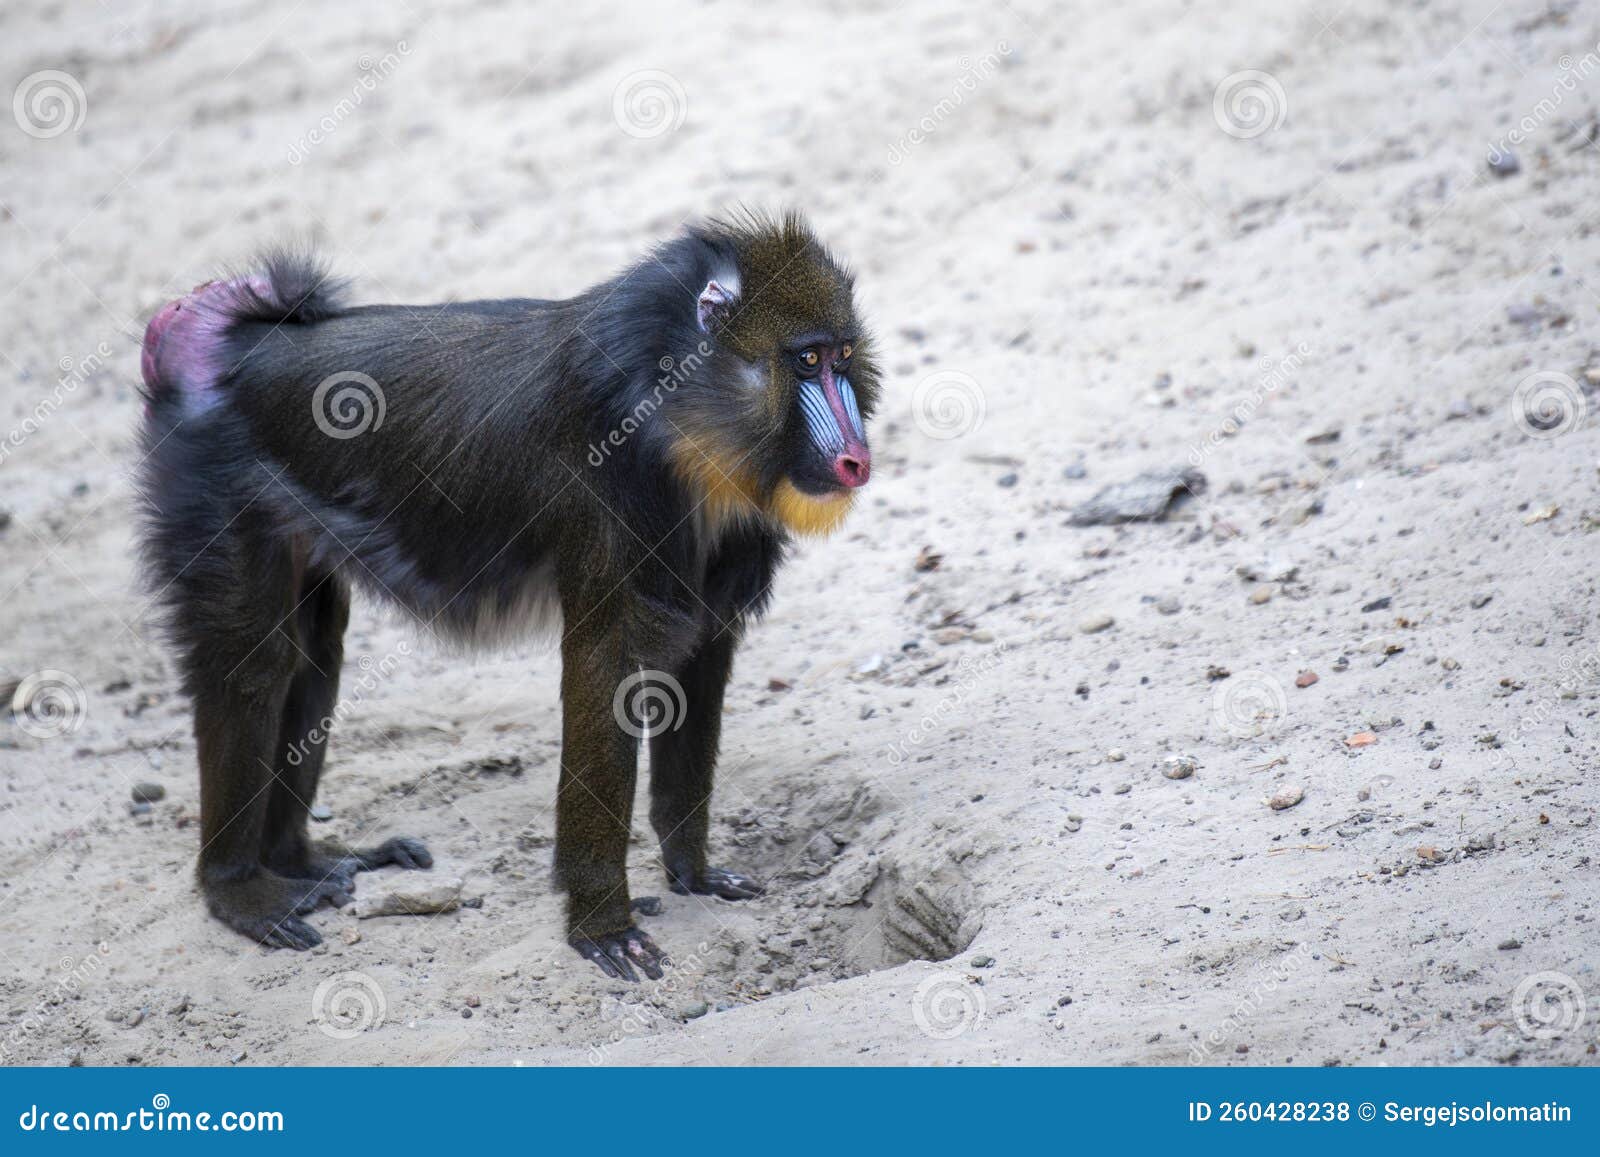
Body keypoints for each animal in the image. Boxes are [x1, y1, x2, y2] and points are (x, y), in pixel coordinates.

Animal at [135, 211, 878, 980]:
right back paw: (239, 888)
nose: (856, 458)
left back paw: (304, 861)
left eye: (843, 356)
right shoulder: (606, 498)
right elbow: (603, 672)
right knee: (252, 663)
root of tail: (233, 343)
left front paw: (694, 872)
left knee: (313, 661)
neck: (679, 416)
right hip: (213, 496)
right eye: (806, 361)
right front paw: (602, 923)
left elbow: (696, 666)